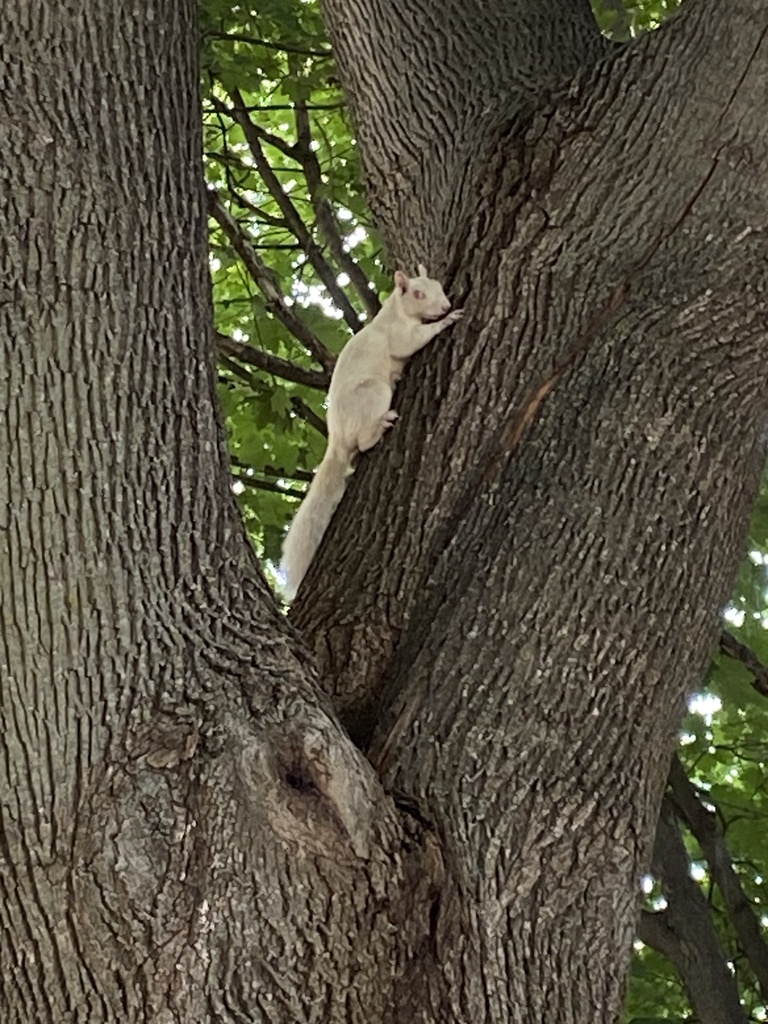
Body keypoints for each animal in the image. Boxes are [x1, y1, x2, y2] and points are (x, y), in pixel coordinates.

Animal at [279, 264, 463, 599]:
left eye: (438, 285)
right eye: (418, 293)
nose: (444, 305)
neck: (396, 311)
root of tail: (338, 441)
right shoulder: (398, 334)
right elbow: (412, 342)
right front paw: (447, 321)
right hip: (374, 393)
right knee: (364, 442)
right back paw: (379, 427)